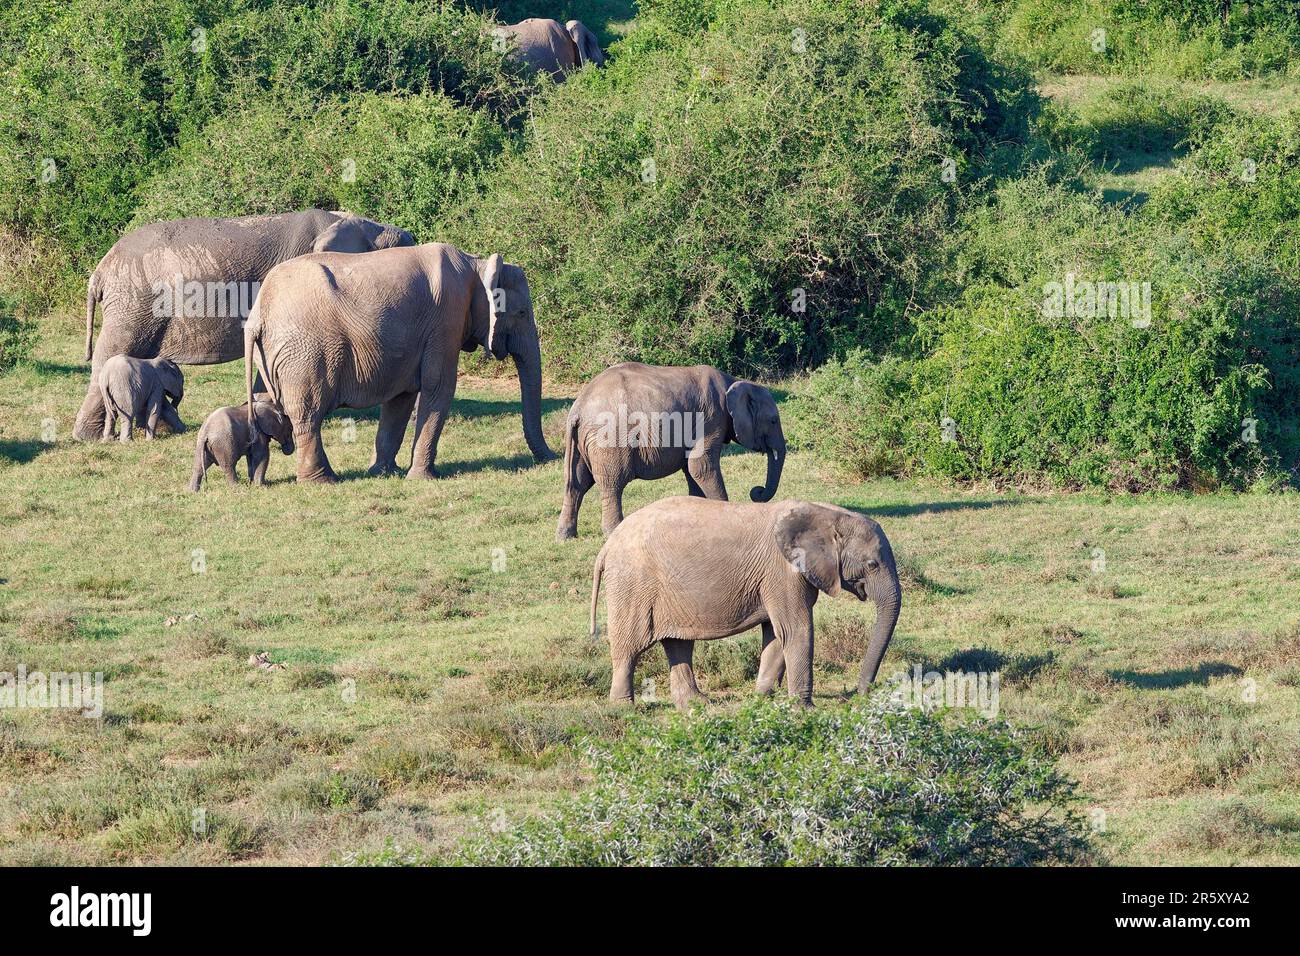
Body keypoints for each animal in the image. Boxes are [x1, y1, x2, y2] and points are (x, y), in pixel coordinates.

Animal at [243, 242, 556, 483]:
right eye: (522, 312)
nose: (552, 457)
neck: (475, 264)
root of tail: (259, 314)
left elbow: (401, 398)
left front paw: (383, 472)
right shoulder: (445, 322)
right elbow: (438, 387)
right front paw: (422, 479)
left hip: (275, 356)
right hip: (304, 353)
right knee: (308, 414)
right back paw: (322, 481)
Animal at [557, 363, 785, 540]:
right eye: (773, 420)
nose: (756, 492)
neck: (733, 382)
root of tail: (578, 409)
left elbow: (692, 470)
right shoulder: (712, 418)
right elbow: (700, 466)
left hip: (580, 440)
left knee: (576, 483)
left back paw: (565, 537)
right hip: (609, 438)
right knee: (612, 483)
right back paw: (612, 531)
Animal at [589, 497, 902, 710]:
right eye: (872, 564)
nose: (861, 695)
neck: (827, 514)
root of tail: (608, 545)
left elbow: (777, 634)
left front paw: (762, 698)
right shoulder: (781, 572)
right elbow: (796, 629)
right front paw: (806, 709)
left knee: (678, 644)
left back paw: (696, 704)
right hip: (633, 582)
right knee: (630, 645)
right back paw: (624, 707)